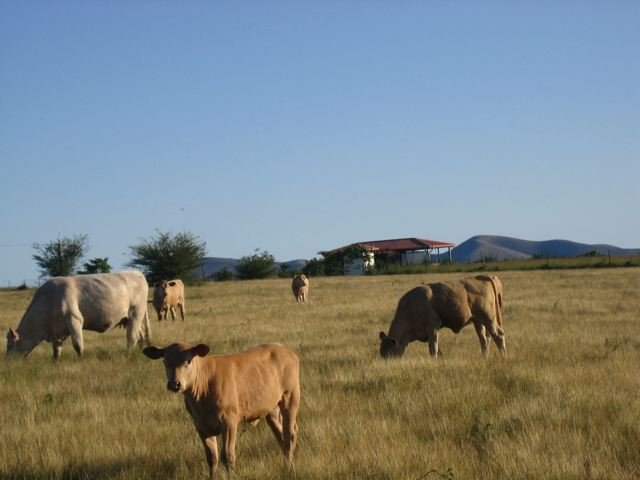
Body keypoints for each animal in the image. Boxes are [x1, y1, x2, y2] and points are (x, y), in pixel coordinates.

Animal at [5, 271, 152, 360]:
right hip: (129, 318)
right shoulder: (57, 330)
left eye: (10, 345)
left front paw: (81, 359)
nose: (7, 362)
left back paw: (128, 355)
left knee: (132, 337)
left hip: (136, 313)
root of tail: (137, 273)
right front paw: (55, 362)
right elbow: (56, 349)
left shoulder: (74, 320)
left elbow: (78, 345)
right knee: (141, 334)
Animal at [143, 342, 300, 479]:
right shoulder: (200, 425)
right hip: (272, 408)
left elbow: (227, 455)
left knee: (289, 434)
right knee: (281, 435)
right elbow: (212, 457)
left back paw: (290, 469)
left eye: (188, 361)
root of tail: (285, 349)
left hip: (290, 397)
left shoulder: (229, 421)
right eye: (165, 362)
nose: (174, 384)